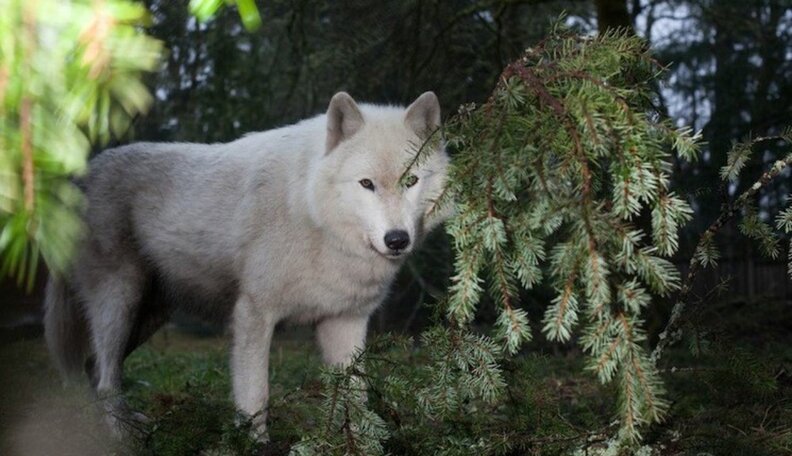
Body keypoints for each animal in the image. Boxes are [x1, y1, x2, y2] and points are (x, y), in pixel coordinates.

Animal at [43, 91, 449, 436]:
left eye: (411, 180)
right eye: (366, 184)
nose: (397, 239)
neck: (312, 214)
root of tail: (84, 174)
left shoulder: (345, 321)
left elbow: (357, 399)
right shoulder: (253, 315)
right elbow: (256, 397)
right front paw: (255, 442)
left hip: (147, 317)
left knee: (96, 371)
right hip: (120, 304)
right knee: (105, 380)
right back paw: (120, 436)